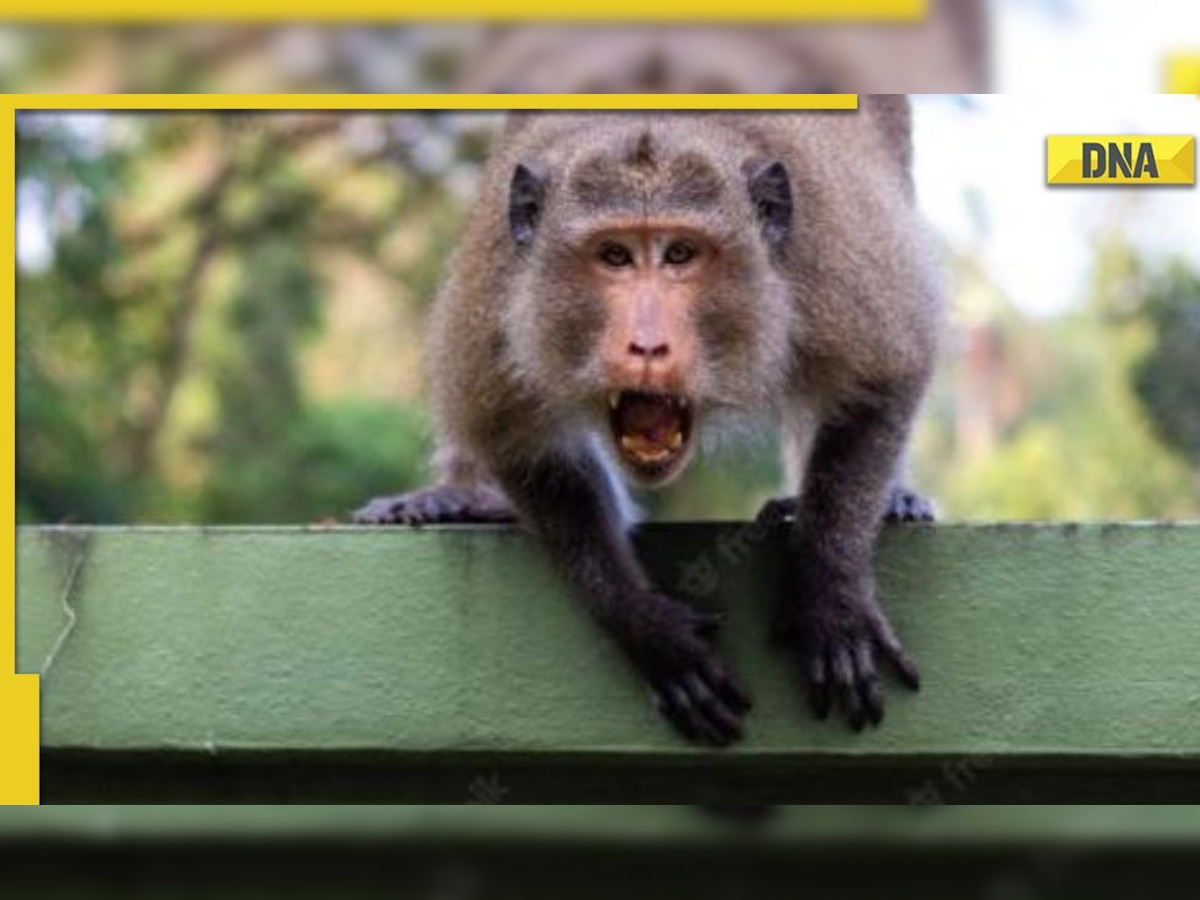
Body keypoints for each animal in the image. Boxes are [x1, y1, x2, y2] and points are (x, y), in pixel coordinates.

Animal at [355, 99, 942, 746]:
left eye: (680, 253)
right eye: (614, 255)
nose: (647, 345)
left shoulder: (833, 258)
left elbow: (882, 376)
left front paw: (830, 590)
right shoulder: (499, 297)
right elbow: (513, 436)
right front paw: (645, 624)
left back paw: (888, 499)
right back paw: (461, 494)